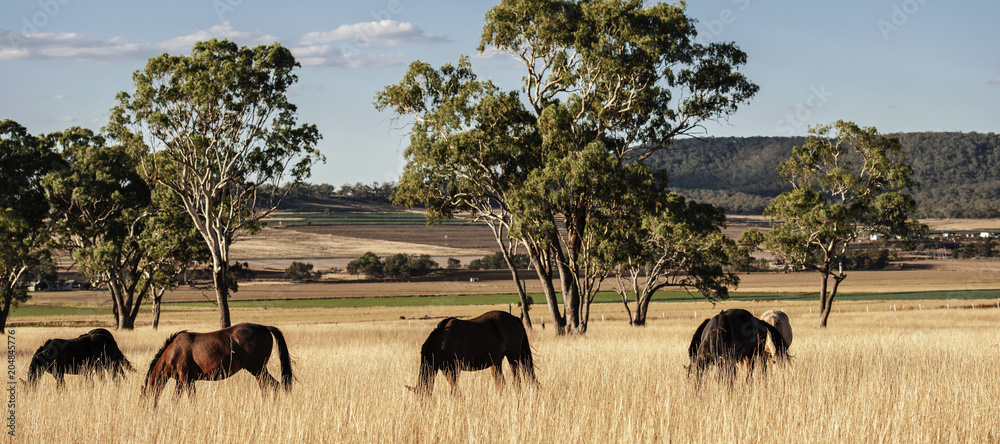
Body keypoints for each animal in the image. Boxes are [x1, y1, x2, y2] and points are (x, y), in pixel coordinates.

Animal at [141, 323, 292, 406]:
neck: (173, 351)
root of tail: (264, 328)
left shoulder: (187, 380)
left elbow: (192, 400)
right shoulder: (181, 381)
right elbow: (175, 399)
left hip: (257, 369)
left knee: (273, 385)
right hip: (259, 371)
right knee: (268, 386)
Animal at [407, 310, 537, 396]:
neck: (443, 341)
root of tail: (515, 319)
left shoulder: (454, 369)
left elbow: (454, 389)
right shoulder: (445, 369)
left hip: (513, 358)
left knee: (517, 381)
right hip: (496, 361)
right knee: (500, 383)